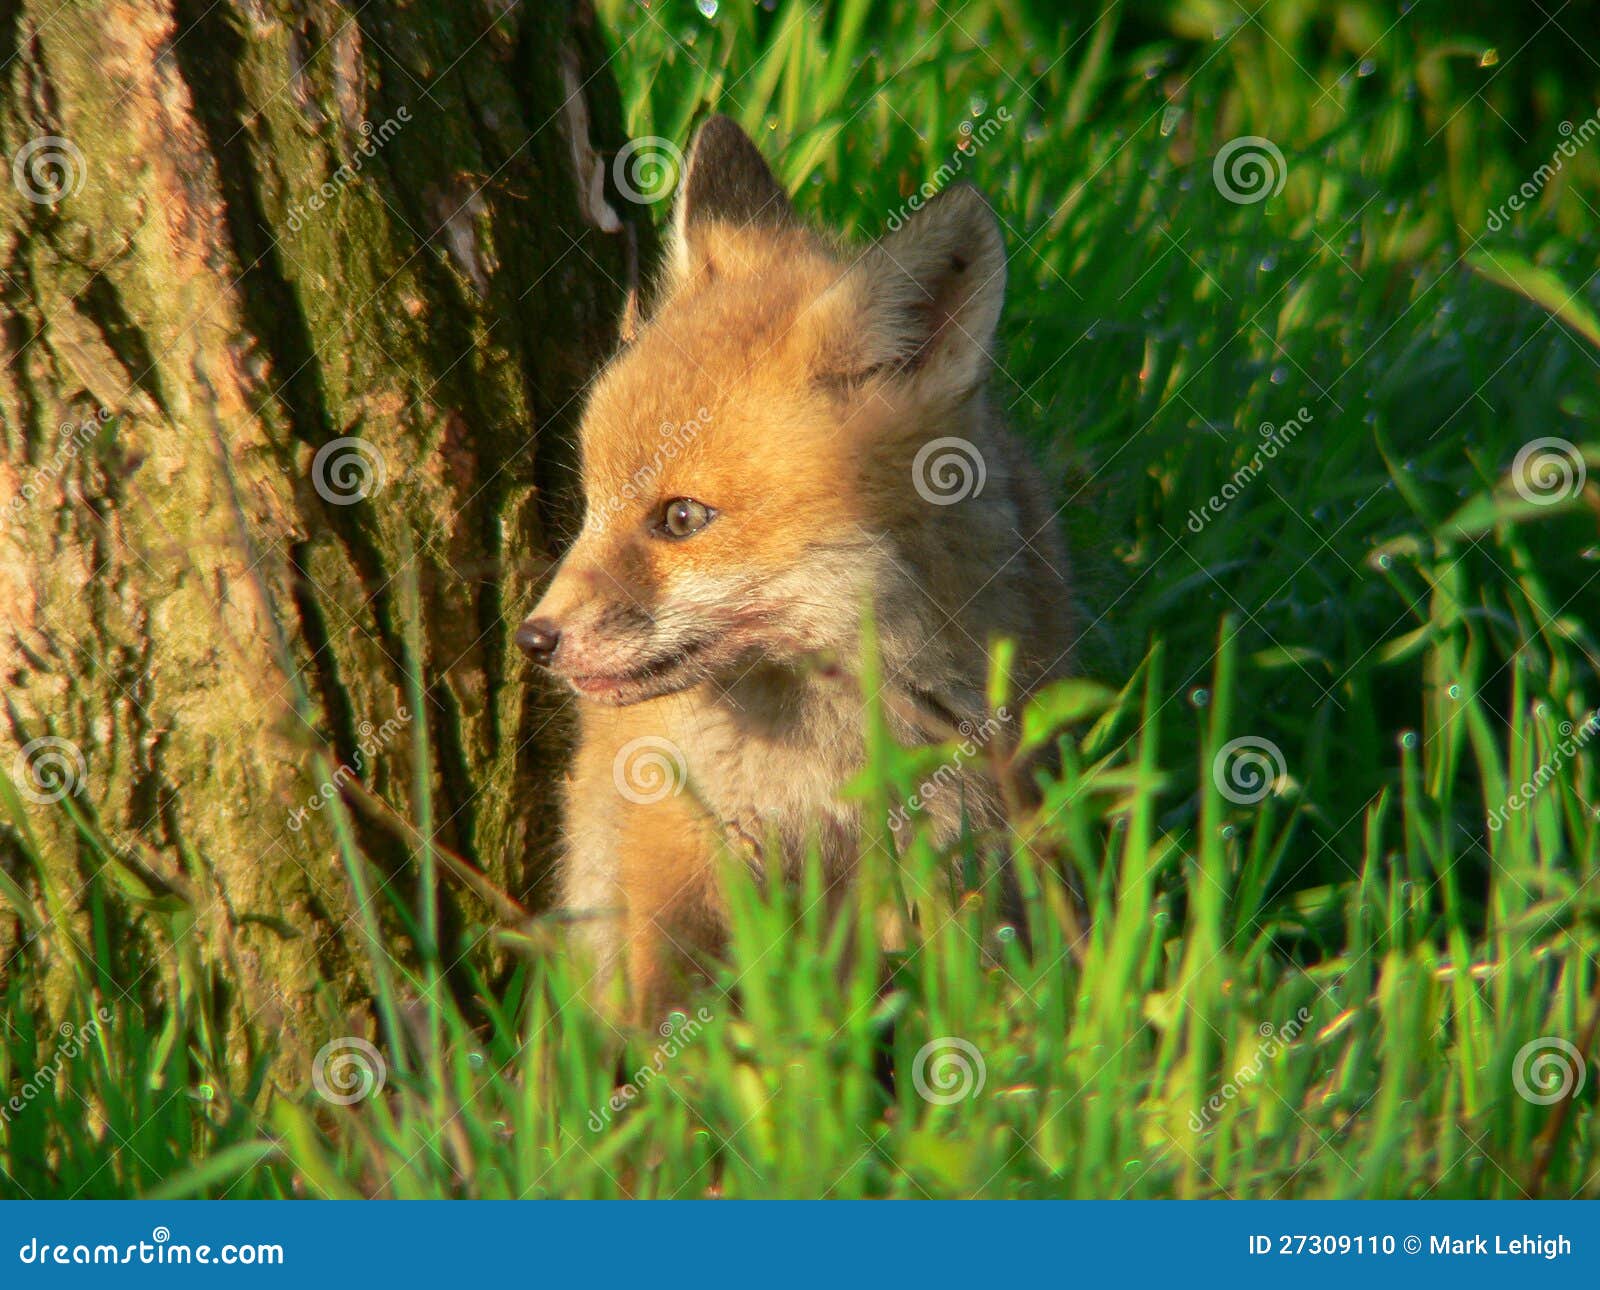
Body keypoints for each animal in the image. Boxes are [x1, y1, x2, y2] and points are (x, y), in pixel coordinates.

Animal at [518, 116, 1075, 1018]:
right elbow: (668, 1009)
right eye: (592, 499)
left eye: (681, 519)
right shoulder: (678, 834)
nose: (532, 639)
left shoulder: (950, 832)